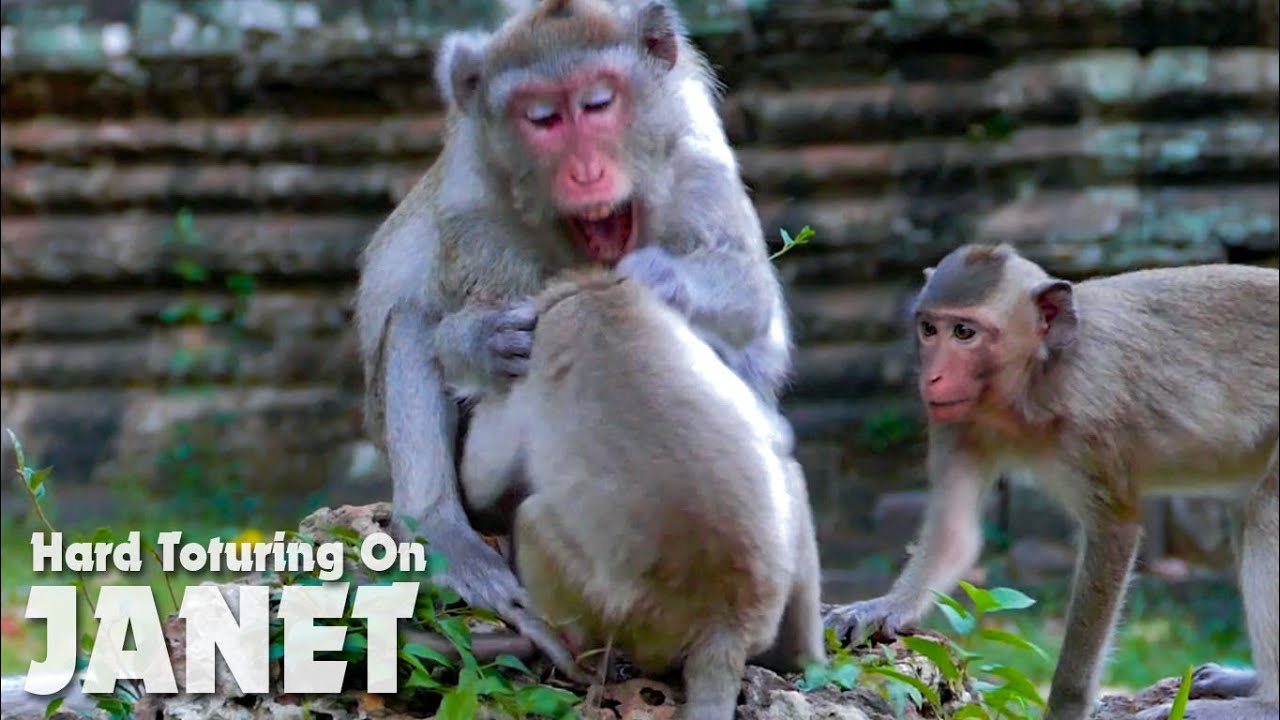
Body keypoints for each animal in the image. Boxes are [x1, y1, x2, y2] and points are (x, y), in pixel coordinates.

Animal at [353, 0, 793, 676]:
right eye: (542, 118)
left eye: (597, 104)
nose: (585, 173)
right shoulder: (473, 203)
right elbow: (445, 330)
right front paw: (489, 339)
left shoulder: (697, 166)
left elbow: (751, 302)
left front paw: (658, 280)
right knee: (411, 324)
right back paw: (441, 532)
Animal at [459, 267, 825, 719]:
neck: (598, 297)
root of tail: (725, 626)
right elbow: (776, 437)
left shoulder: (534, 358)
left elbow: (479, 485)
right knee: (787, 470)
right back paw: (800, 659)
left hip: (633, 620)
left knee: (533, 519)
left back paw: (579, 662)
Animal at [822, 244, 1279, 720]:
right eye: (929, 329)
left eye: (964, 332)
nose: (932, 377)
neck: (1036, 378)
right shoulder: (958, 421)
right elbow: (955, 534)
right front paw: (886, 606)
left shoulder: (1092, 415)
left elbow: (1113, 533)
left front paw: (1065, 705)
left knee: (1265, 508)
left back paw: (1263, 704)